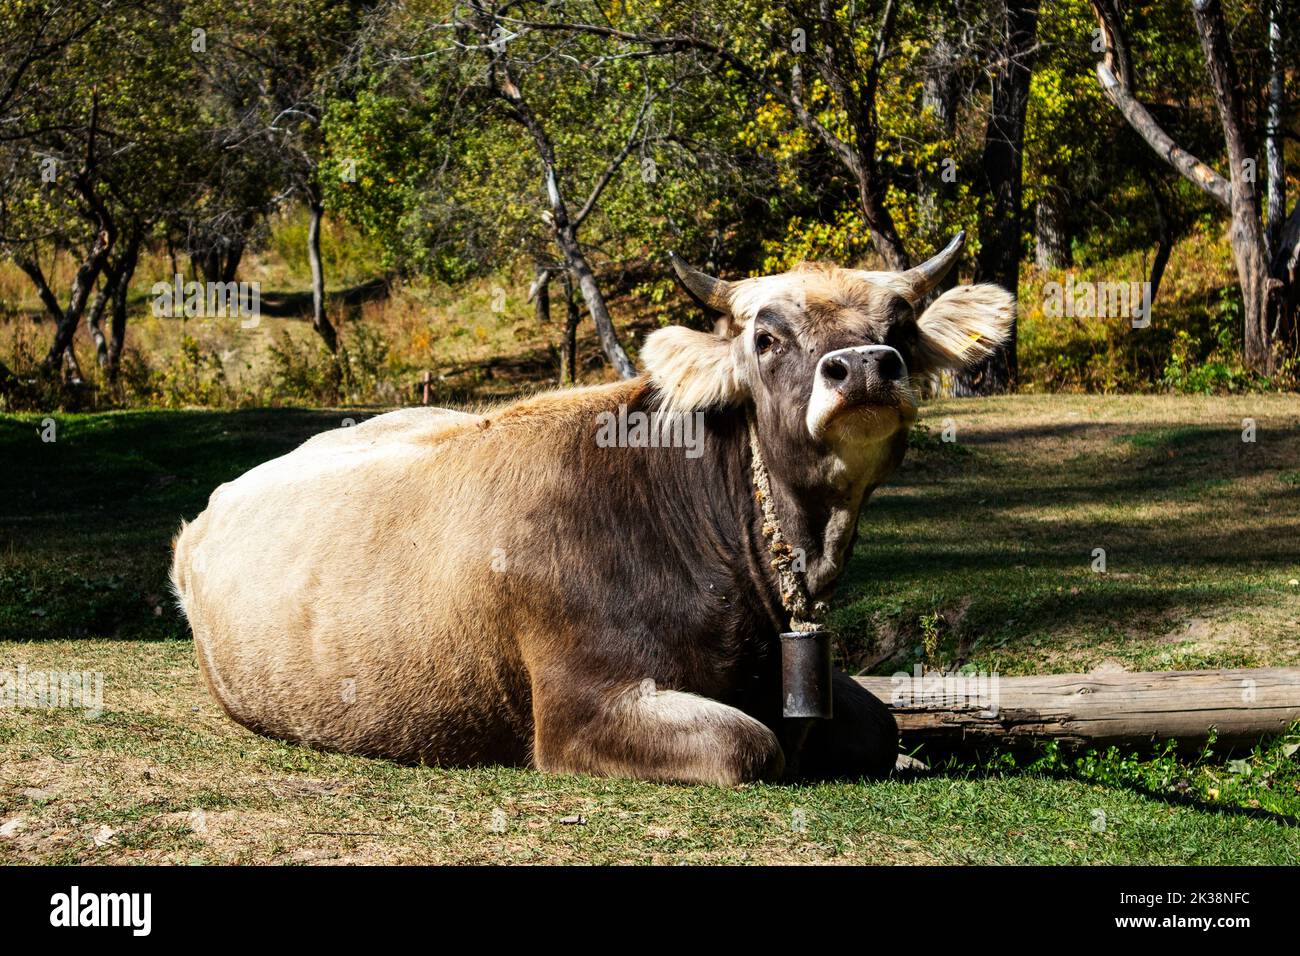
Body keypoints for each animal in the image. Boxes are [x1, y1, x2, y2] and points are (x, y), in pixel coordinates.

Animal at [170, 233, 1013, 786]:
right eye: (767, 338)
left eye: (899, 326)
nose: (865, 366)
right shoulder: (580, 713)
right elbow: (750, 747)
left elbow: (879, 725)